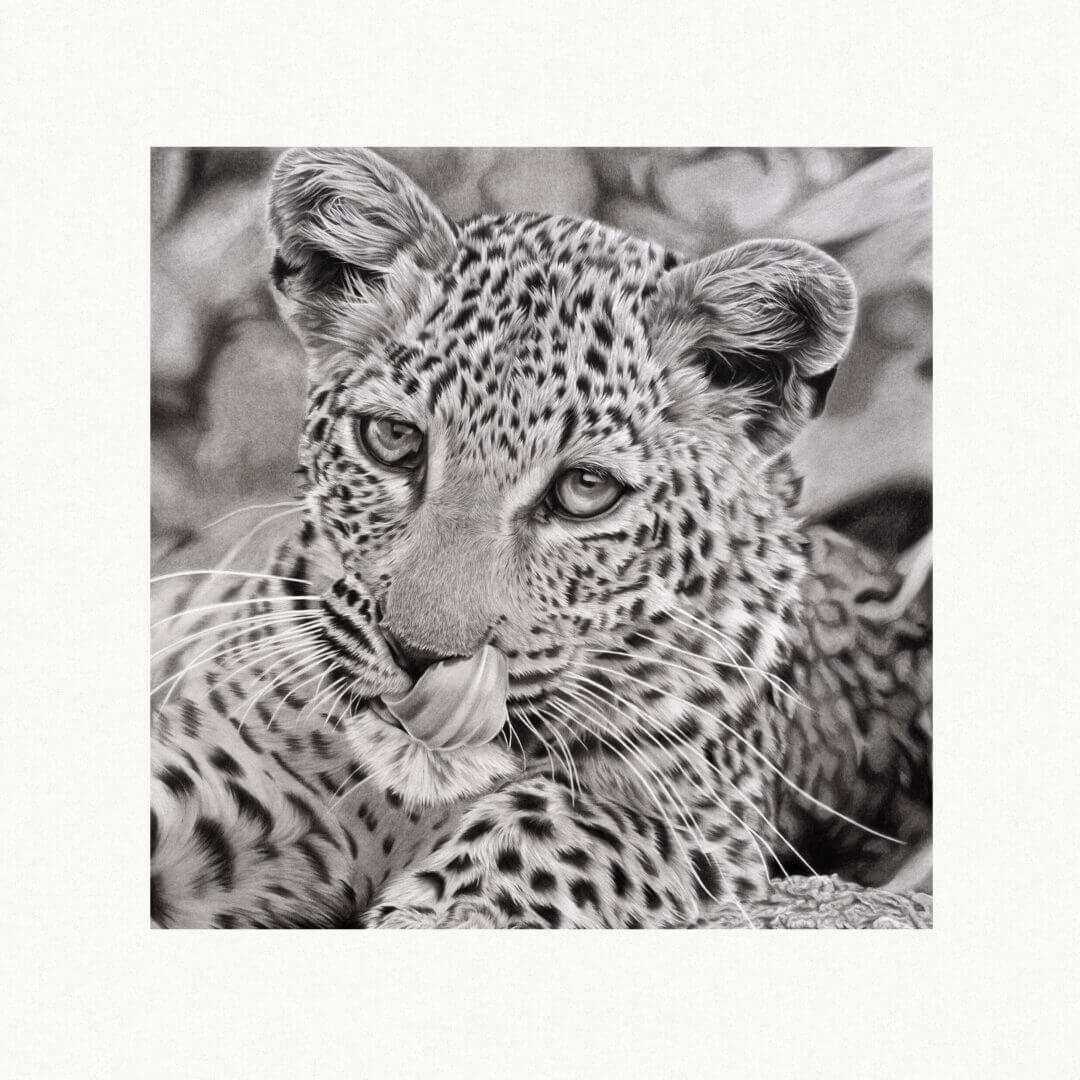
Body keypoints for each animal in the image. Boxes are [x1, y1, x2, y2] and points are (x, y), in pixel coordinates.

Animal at [150, 147, 931, 928]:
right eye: (393, 440)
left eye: (585, 490)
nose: (419, 656)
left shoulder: (702, 816)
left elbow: (557, 828)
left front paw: (443, 916)